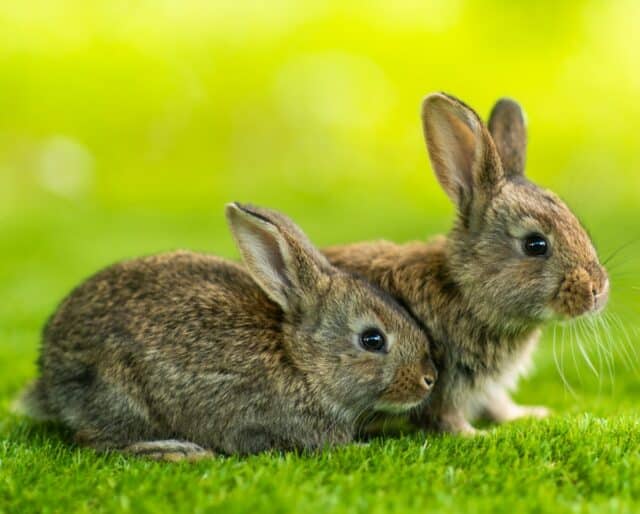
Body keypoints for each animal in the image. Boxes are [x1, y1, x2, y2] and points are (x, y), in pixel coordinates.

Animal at [18, 203, 437, 460]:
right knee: (93, 441)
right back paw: (177, 452)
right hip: (120, 392)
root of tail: (49, 373)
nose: (429, 379)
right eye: (372, 340)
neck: (299, 360)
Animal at [324, 93, 609, 435]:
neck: (465, 291)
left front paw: (528, 414)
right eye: (535, 245)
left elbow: (496, 403)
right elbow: (445, 415)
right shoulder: (442, 380)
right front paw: (474, 435)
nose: (597, 291)